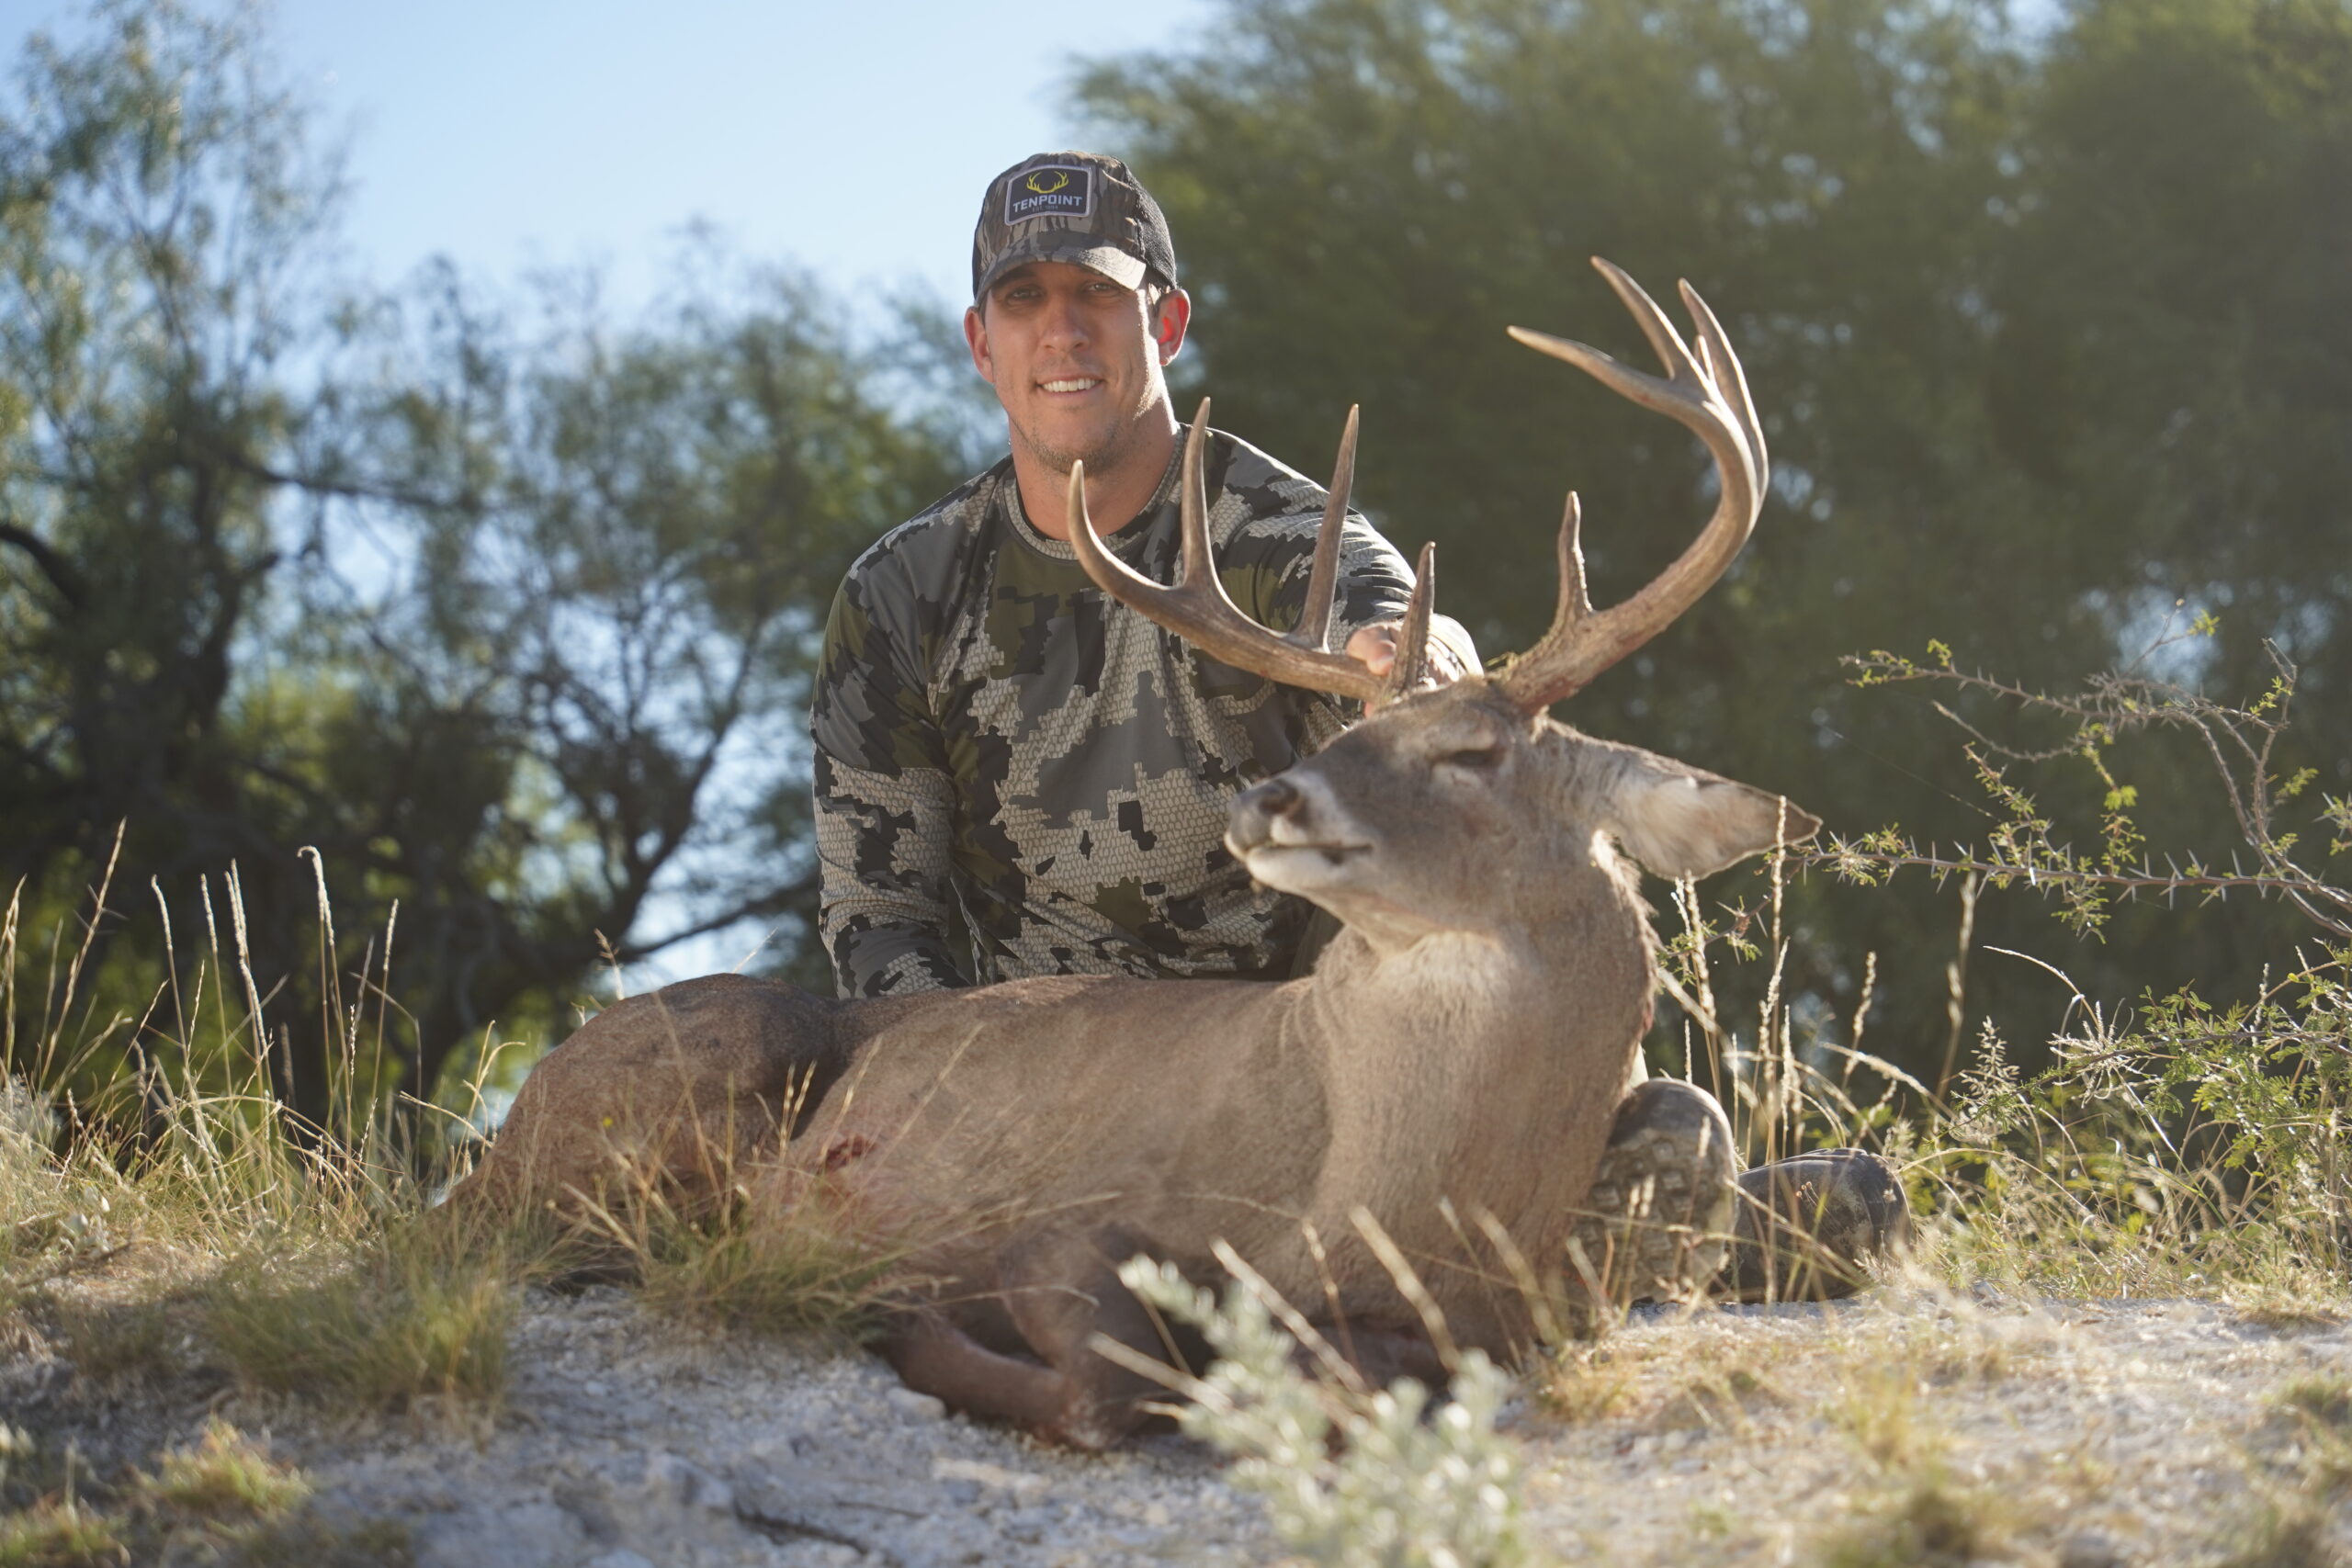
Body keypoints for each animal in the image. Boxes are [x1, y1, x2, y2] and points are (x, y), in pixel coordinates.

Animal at [449, 260, 1903, 1449]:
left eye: (1473, 751)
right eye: (1356, 731)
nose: (1274, 801)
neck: (1396, 1205)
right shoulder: (1077, 1220)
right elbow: (1124, 1374)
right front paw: (905, 1322)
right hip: (675, 1076)